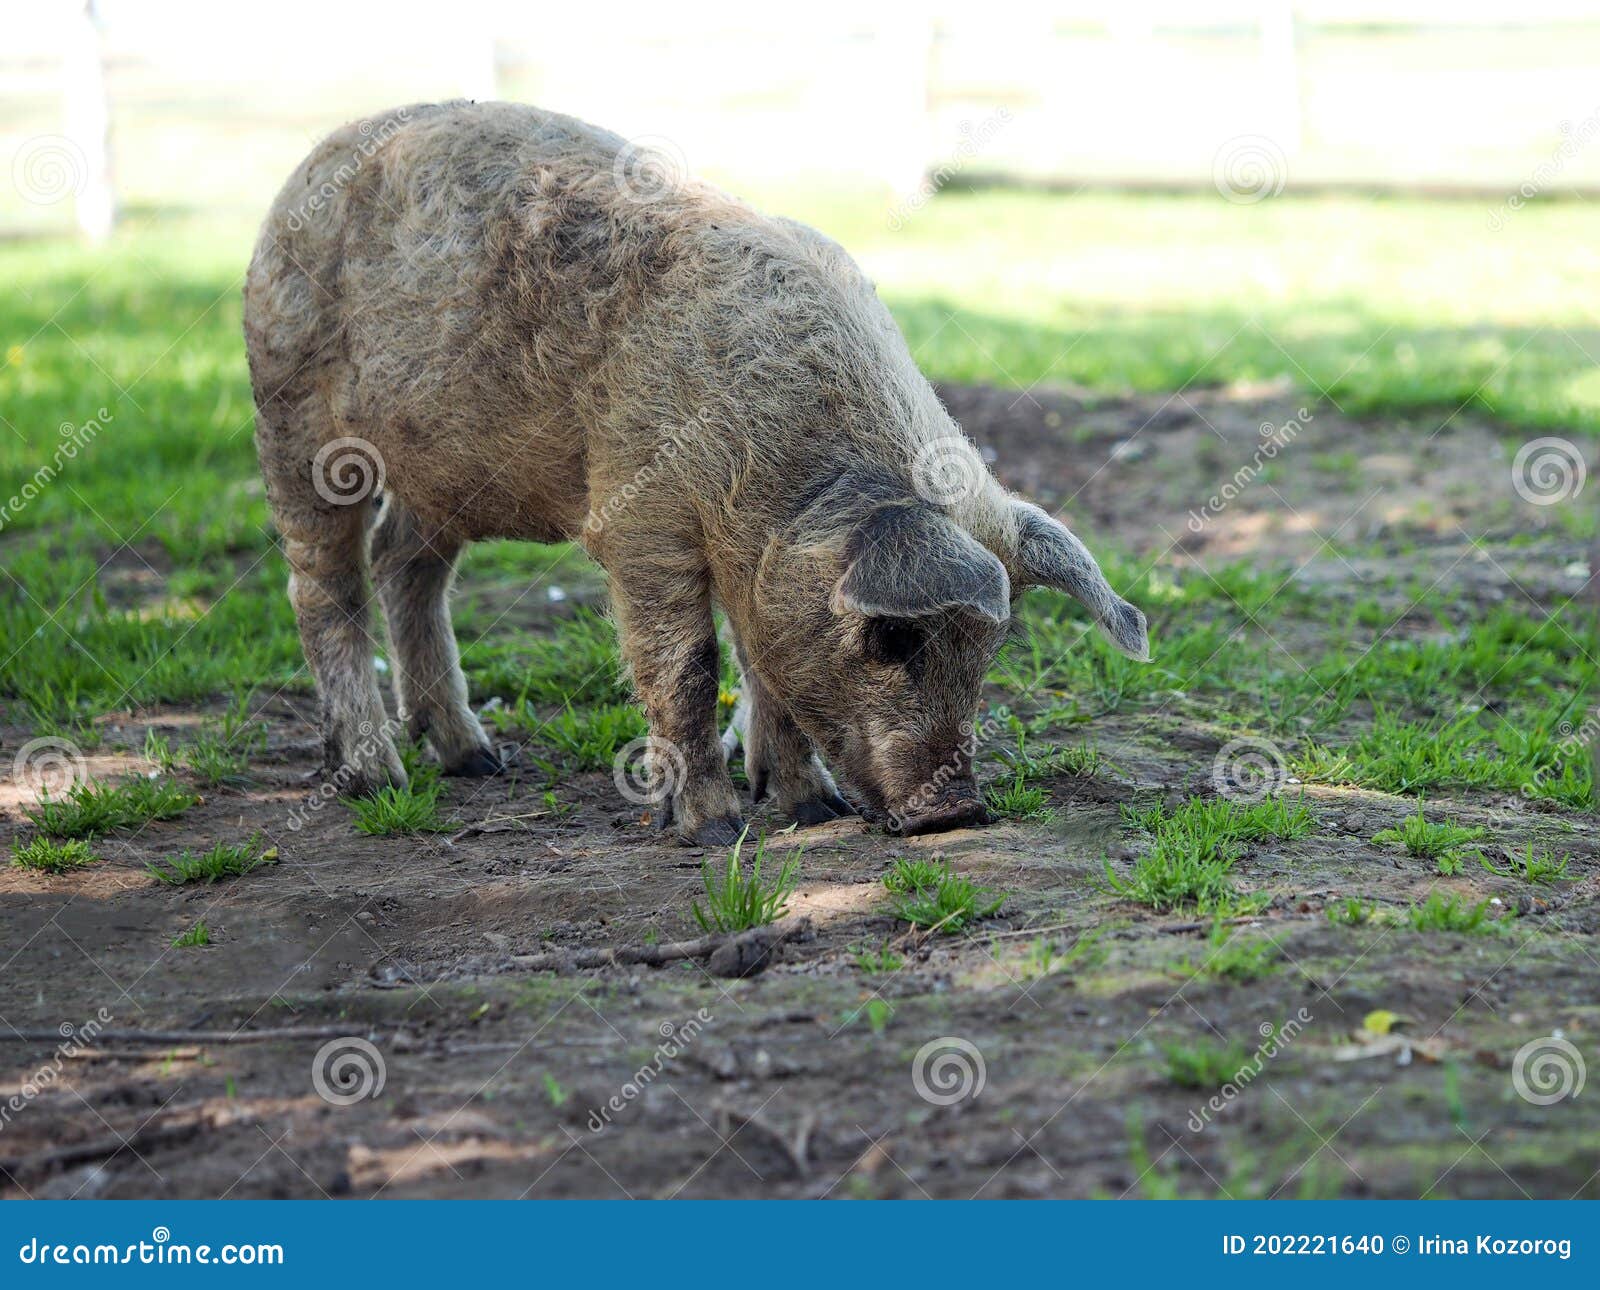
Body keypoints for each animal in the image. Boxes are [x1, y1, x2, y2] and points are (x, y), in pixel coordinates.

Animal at [243, 101, 1149, 847]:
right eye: (893, 637)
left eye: (991, 649)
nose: (956, 813)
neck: (777, 485)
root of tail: (315, 163)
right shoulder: (640, 521)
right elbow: (687, 665)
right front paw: (714, 830)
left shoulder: (760, 568)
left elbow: (769, 673)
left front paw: (809, 810)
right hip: (292, 418)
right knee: (324, 586)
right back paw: (373, 779)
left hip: (438, 477)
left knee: (405, 565)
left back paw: (479, 761)